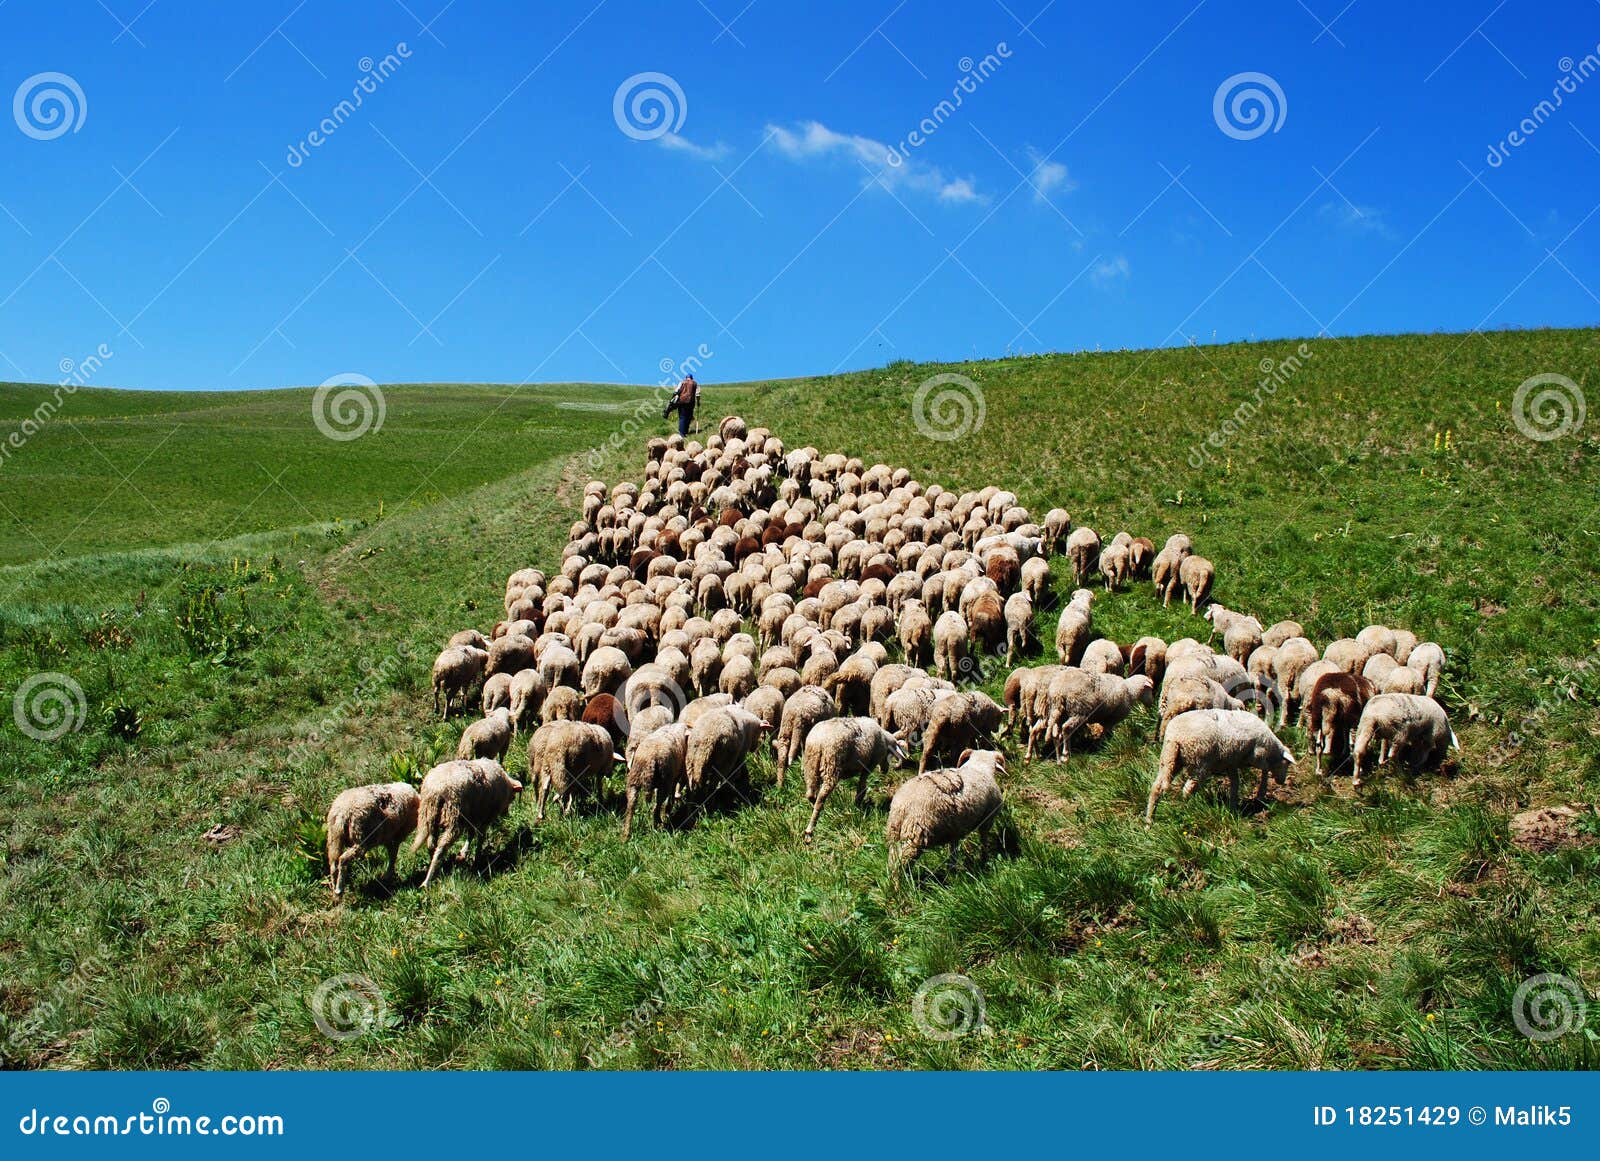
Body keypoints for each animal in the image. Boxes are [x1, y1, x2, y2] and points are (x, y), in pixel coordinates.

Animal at [414, 758, 523, 887]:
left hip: (429, 817)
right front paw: (477, 858)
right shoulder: (485, 817)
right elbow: (480, 837)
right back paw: (427, 881)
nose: (506, 814)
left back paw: (437, 869)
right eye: (513, 797)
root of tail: (437, 789)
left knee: (431, 845)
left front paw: (463, 854)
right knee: (441, 848)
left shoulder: (473, 818)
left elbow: (471, 835)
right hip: (454, 819)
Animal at [1146, 709, 1295, 822]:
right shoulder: (1256, 754)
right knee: (1188, 789)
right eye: (1287, 764)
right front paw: (1261, 793)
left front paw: (1233, 807)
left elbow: (1235, 783)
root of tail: (1176, 737)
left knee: (1157, 787)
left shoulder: (1231, 762)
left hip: (1169, 759)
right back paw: (1188, 809)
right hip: (1200, 763)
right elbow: (1265, 769)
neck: (1272, 748)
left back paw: (1149, 821)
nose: (1281, 782)